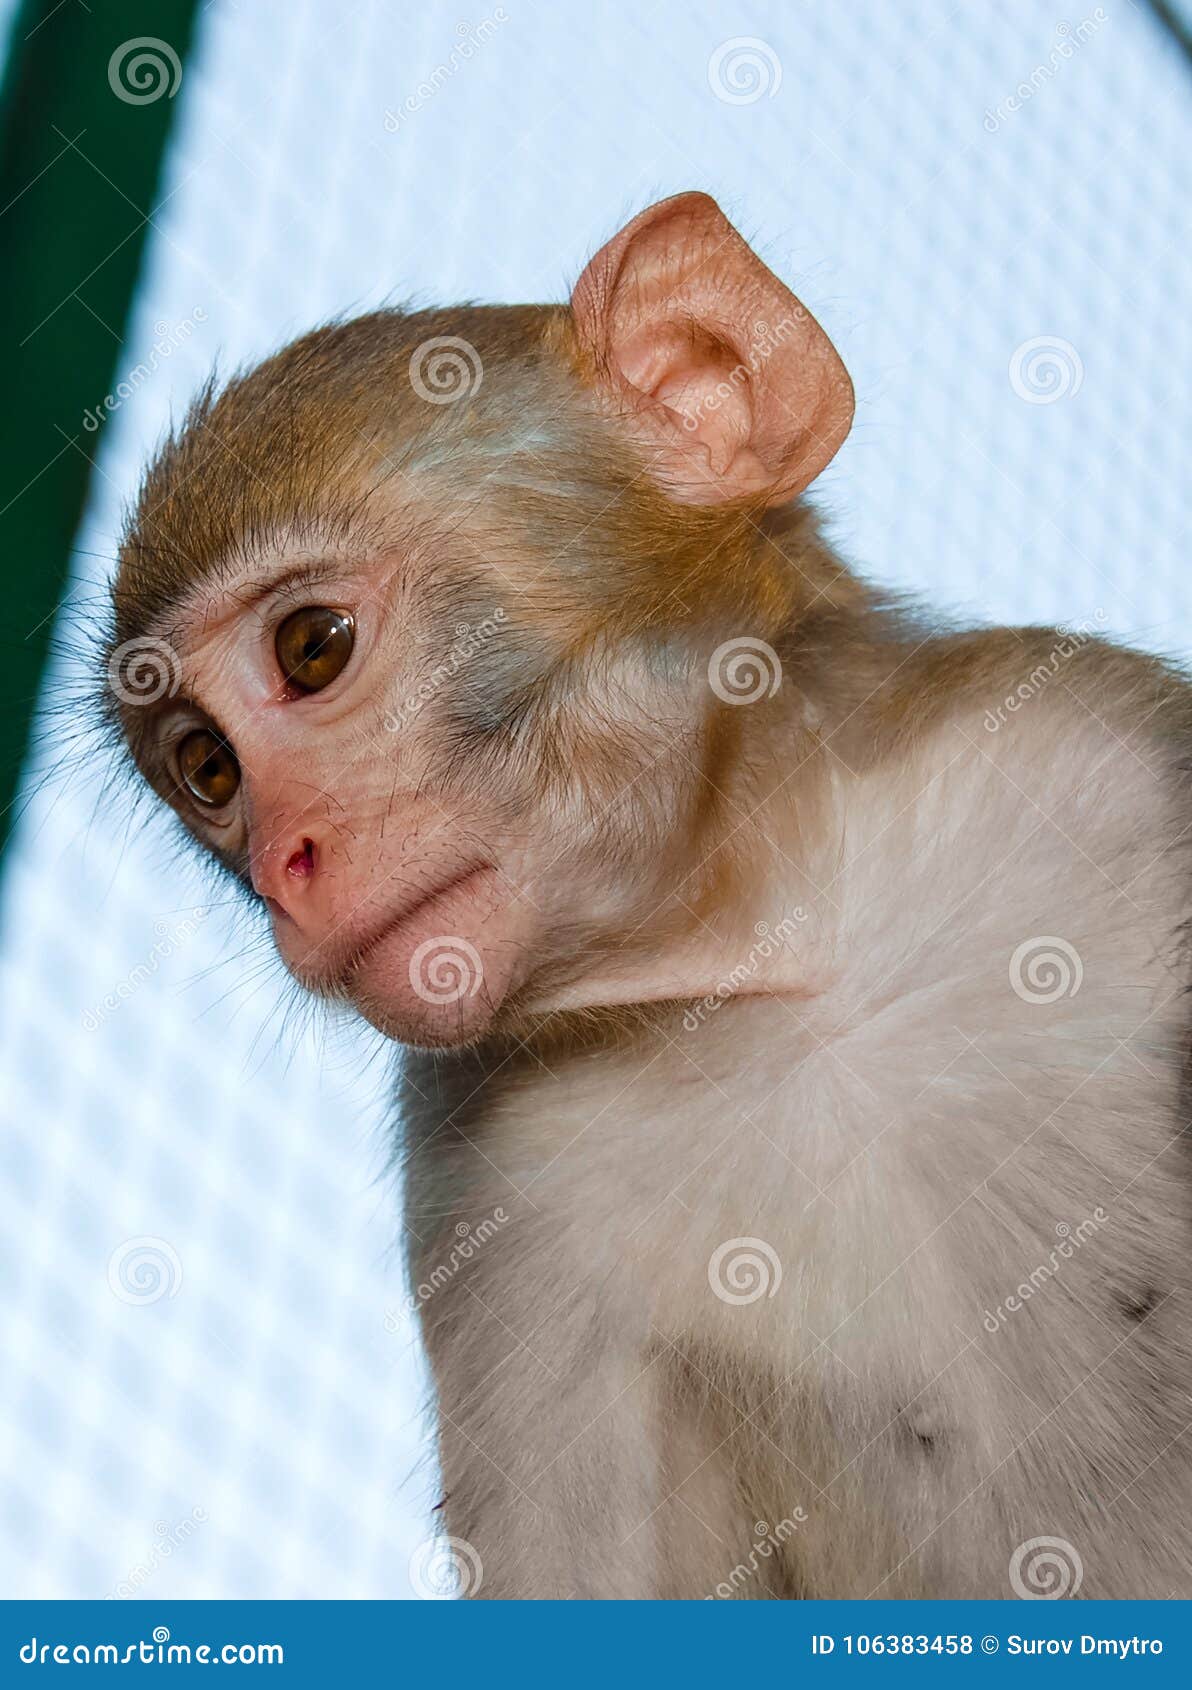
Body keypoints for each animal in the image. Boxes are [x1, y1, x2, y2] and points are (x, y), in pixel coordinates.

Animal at [103, 191, 1192, 1600]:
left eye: (310, 648)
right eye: (209, 769)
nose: (292, 858)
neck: (780, 960)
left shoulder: (1109, 759)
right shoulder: (486, 1176)